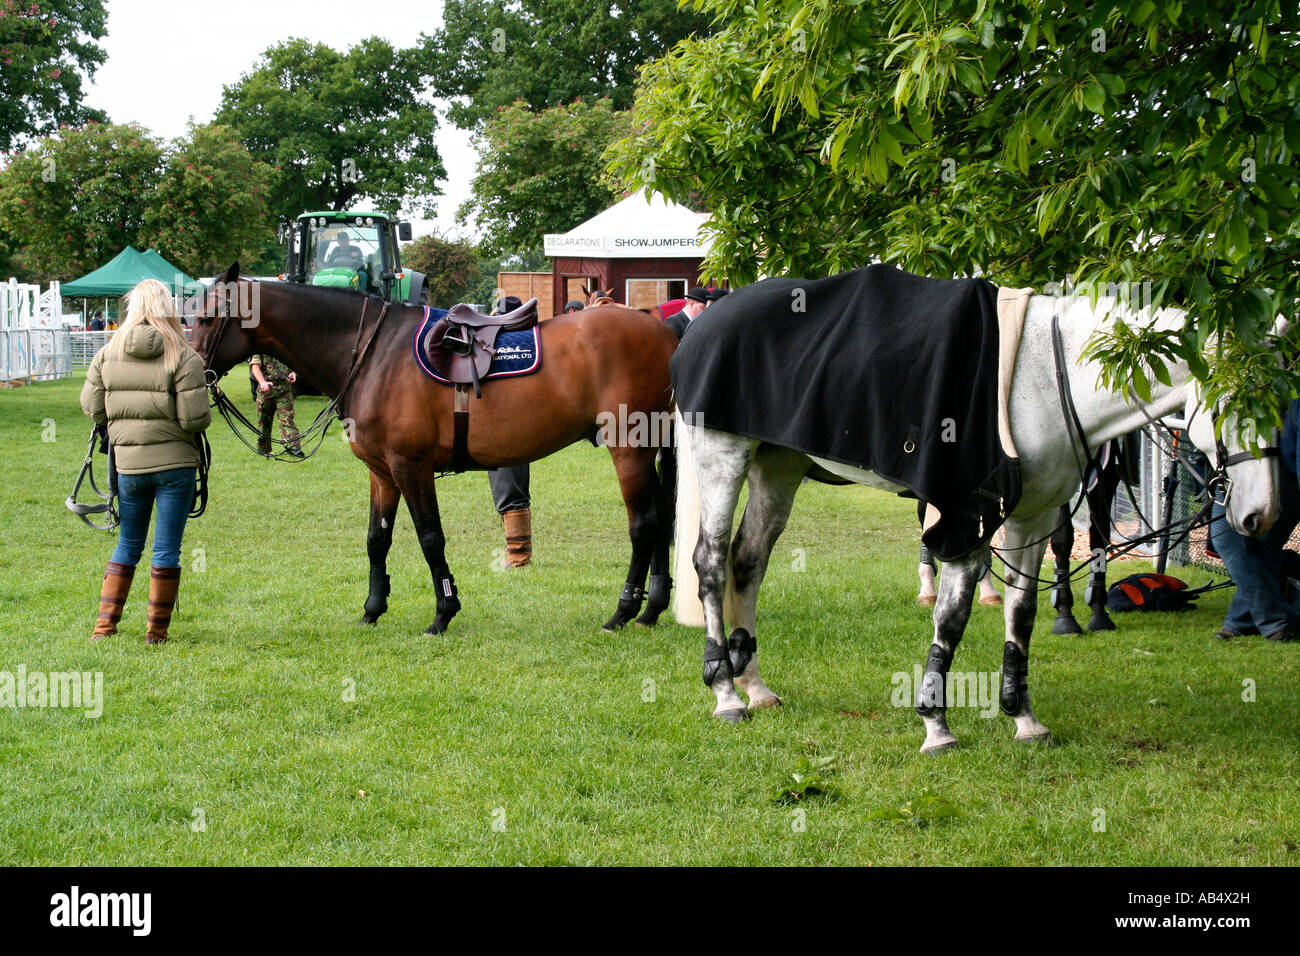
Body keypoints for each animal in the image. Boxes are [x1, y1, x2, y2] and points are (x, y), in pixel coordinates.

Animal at [191, 264, 680, 635]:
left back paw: (623, 611)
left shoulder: (412, 467)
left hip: (630, 447)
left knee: (644, 523)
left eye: (209, 318)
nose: (192, 369)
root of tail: (667, 335)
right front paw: (372, 608)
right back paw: (652, 608)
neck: (372, 353)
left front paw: (444, 611)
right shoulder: (382, 472)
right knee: (662, 517)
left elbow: (430, 537)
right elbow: (377, 539)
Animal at [671, 289, 1282, 752]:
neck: (1043, 378)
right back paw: (726, 693)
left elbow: (1022, 613)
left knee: (748, 562)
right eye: (1232, 404)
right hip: (723, 459)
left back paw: (755, 686)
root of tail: (705, 326)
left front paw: (1023, 717)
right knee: (711, 565)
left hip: (779, 467)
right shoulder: (965, 520)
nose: (1263, 514)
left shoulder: (1033, 517)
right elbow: (952, 617)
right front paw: (935, 724)